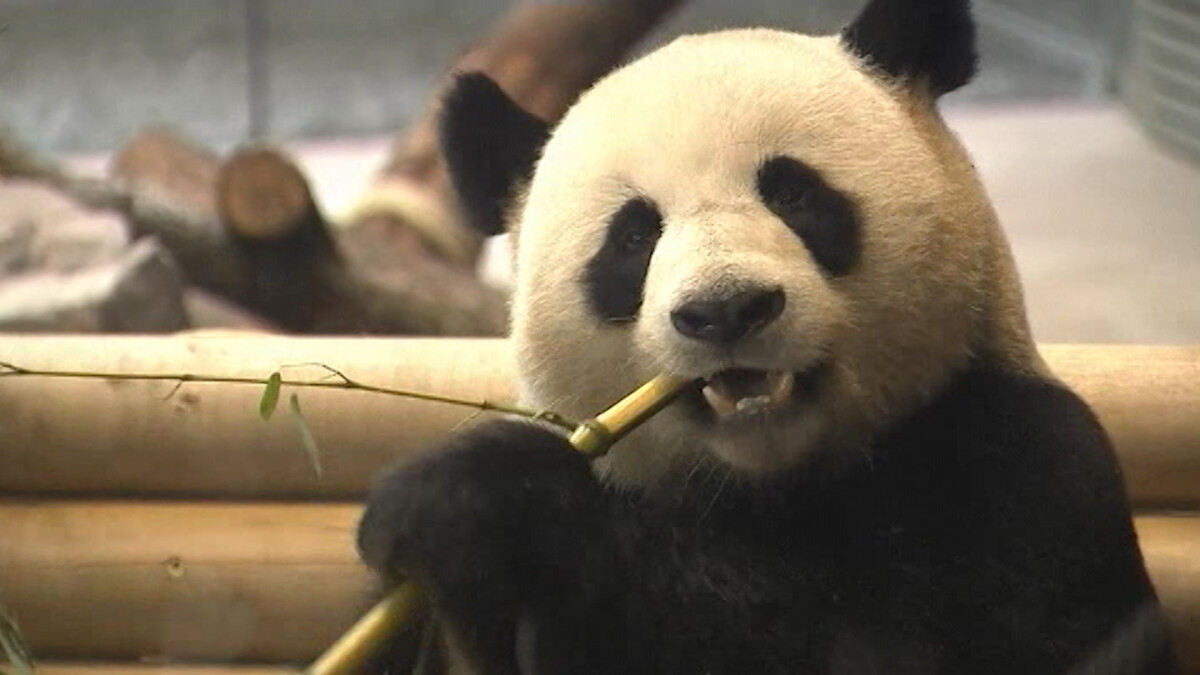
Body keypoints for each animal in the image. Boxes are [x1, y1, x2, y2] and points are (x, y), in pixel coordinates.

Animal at [357, 0, 1174, 672]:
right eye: (633, 236)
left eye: (793, 193)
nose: (726, 310)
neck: (770, 481)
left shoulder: (1018, 469)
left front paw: (488, 497)